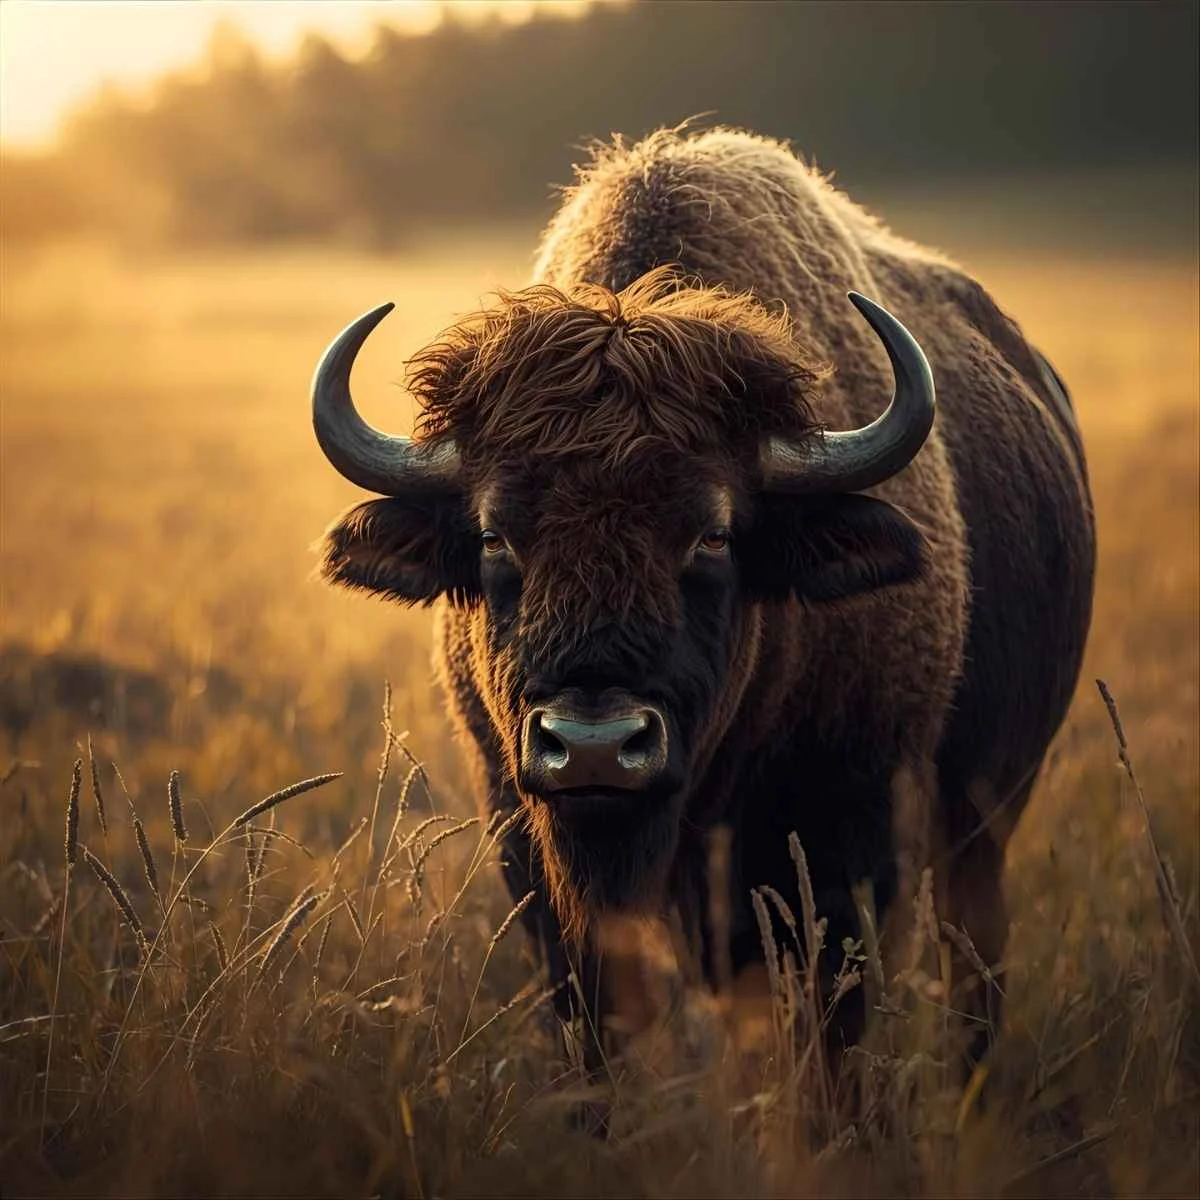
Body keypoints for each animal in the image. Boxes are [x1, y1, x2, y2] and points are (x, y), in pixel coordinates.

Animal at [312, 127, 1095, 1067]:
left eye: (714, 534)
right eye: (495, 535)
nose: (597, 748)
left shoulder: (841, 864)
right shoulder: (535, 865)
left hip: (985, 821)